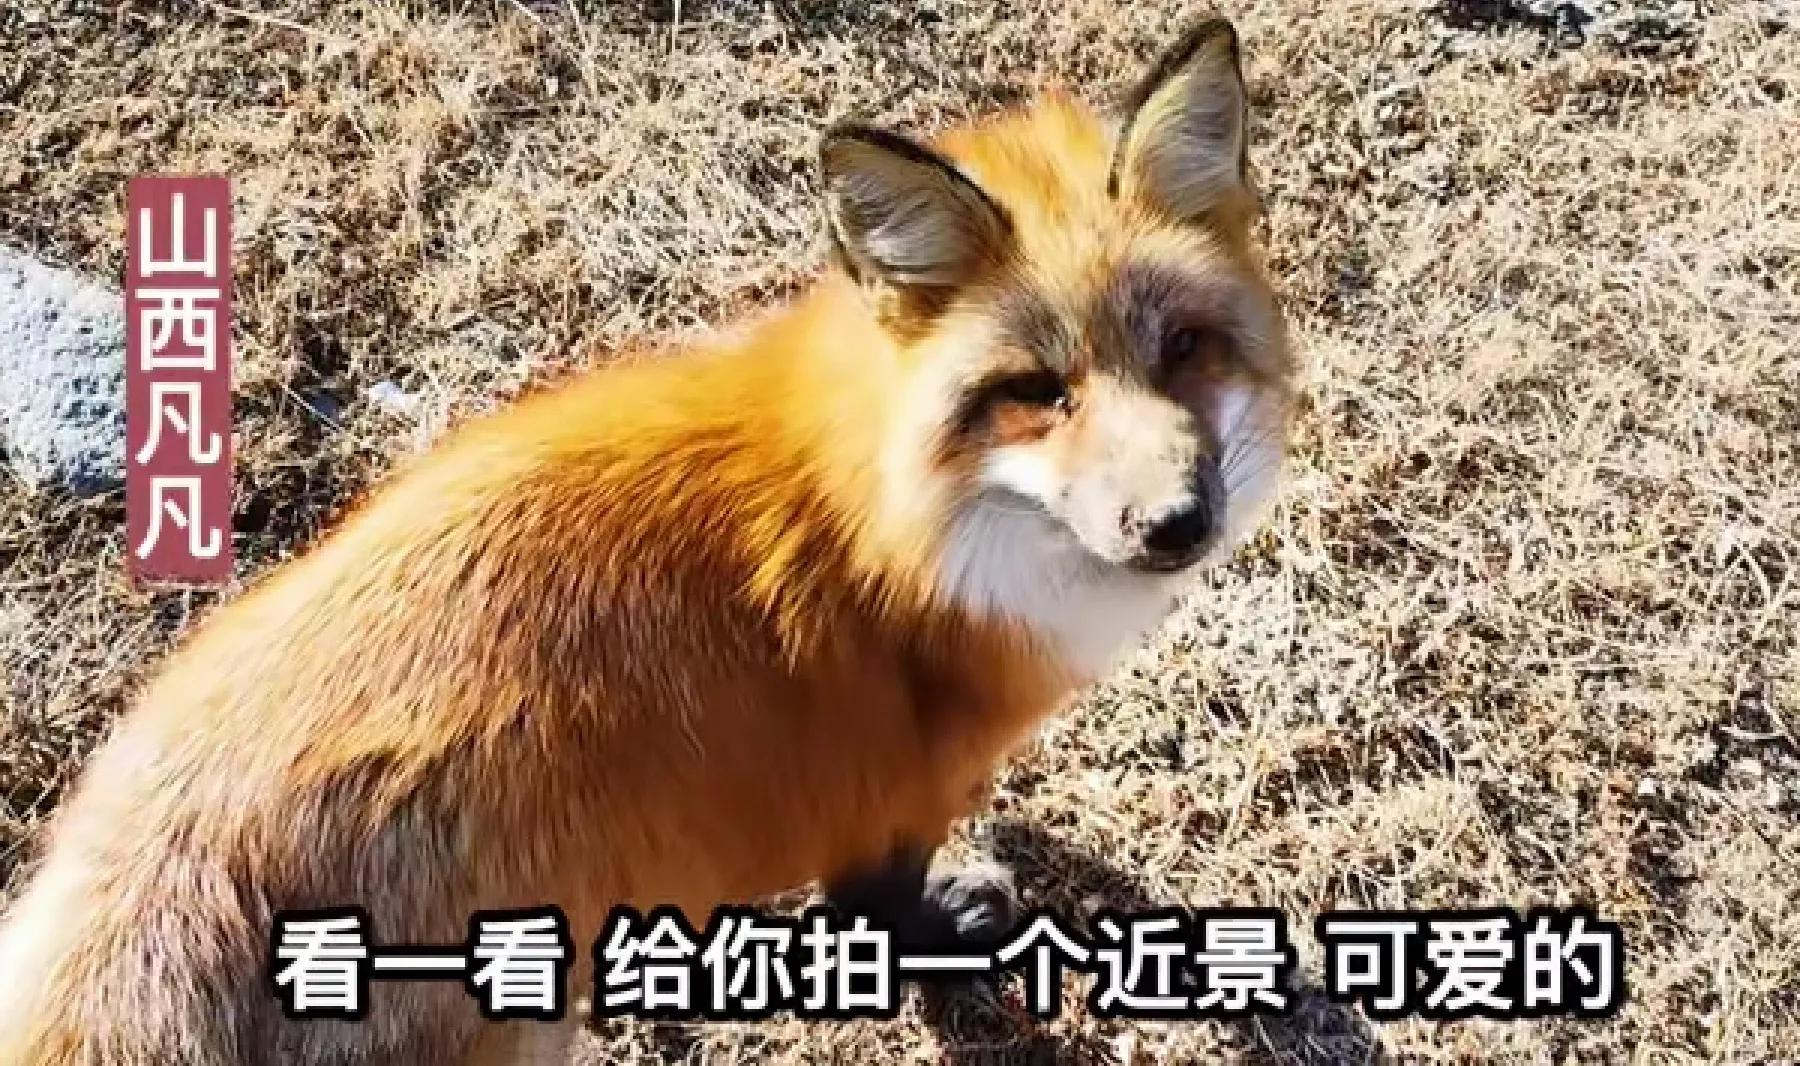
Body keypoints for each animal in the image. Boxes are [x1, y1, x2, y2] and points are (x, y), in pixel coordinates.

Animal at [0, 16, 1293, 1066]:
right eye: (1036, 392)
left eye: (1184, 348)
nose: (1176, 522)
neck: (895, 532)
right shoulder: (887, 785)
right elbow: (876, 910)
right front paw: (938, 951)